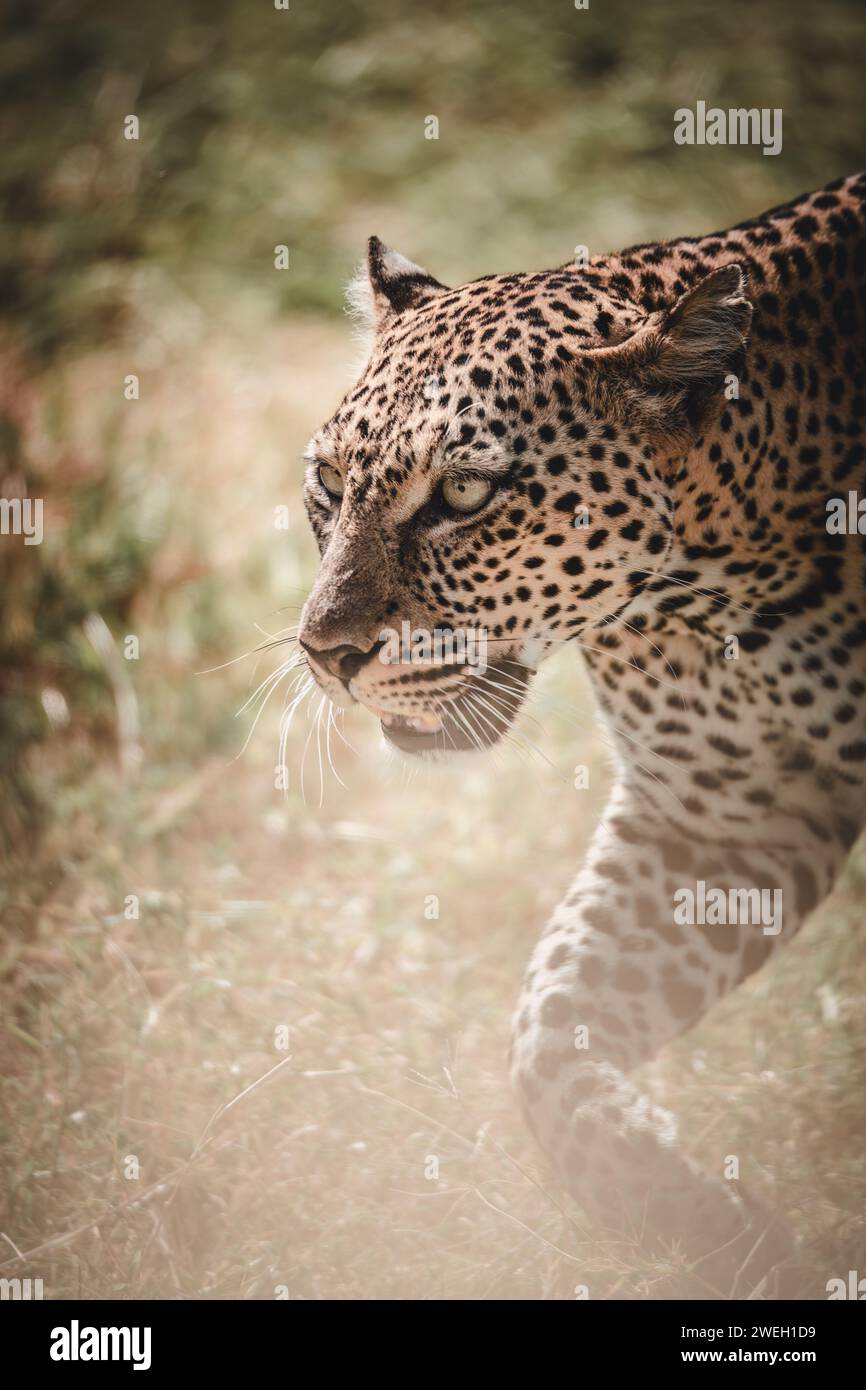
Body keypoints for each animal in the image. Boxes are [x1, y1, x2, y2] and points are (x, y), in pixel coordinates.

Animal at [296, 171, 866, 1298]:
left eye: (463, 493)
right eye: (329, 486)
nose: (323, 651)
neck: (720, 586)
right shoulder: (718, 818)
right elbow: (546, 1031)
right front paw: (698, 1216)